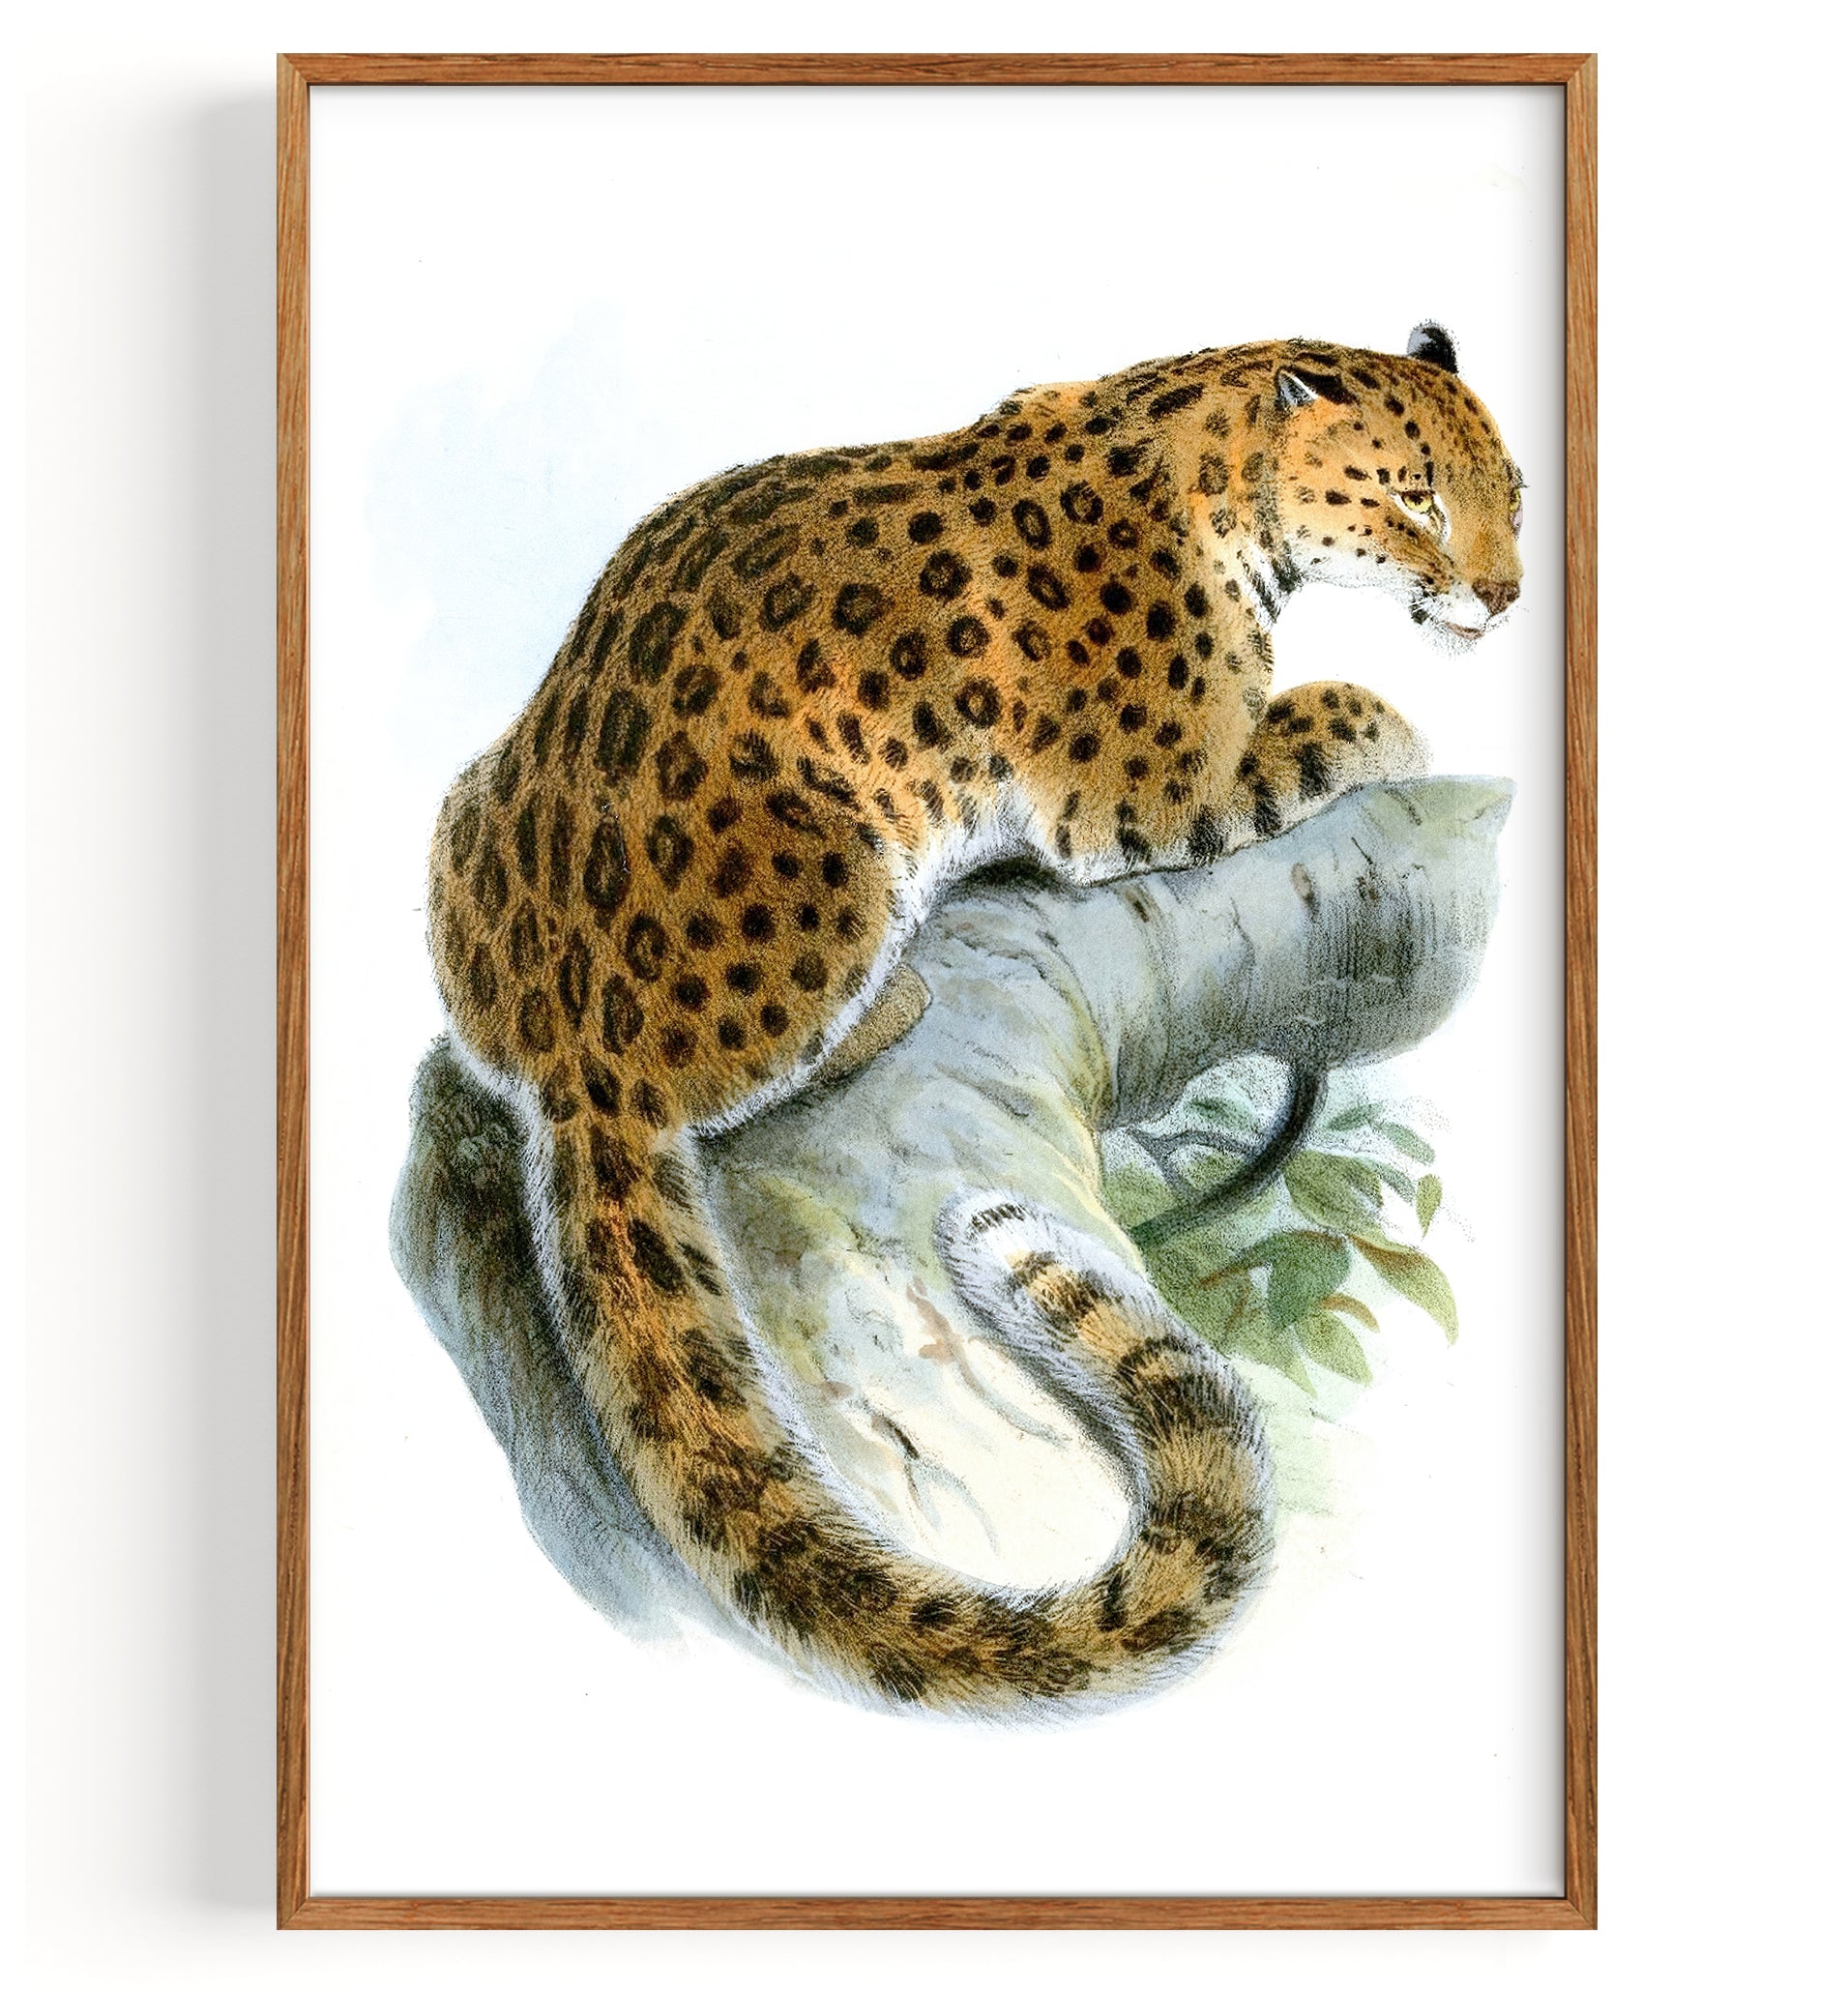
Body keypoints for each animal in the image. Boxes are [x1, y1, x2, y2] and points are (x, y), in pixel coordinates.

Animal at [424, 323, 1524, 1712]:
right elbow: (1319, 727)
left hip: (460, 821)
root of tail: (572, 1041)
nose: (1506, 593)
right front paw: (1379, 713)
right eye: (1415, 498)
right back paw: (892, 1002)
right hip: (839, 863)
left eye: (1514, 494)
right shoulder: (1151, 789)